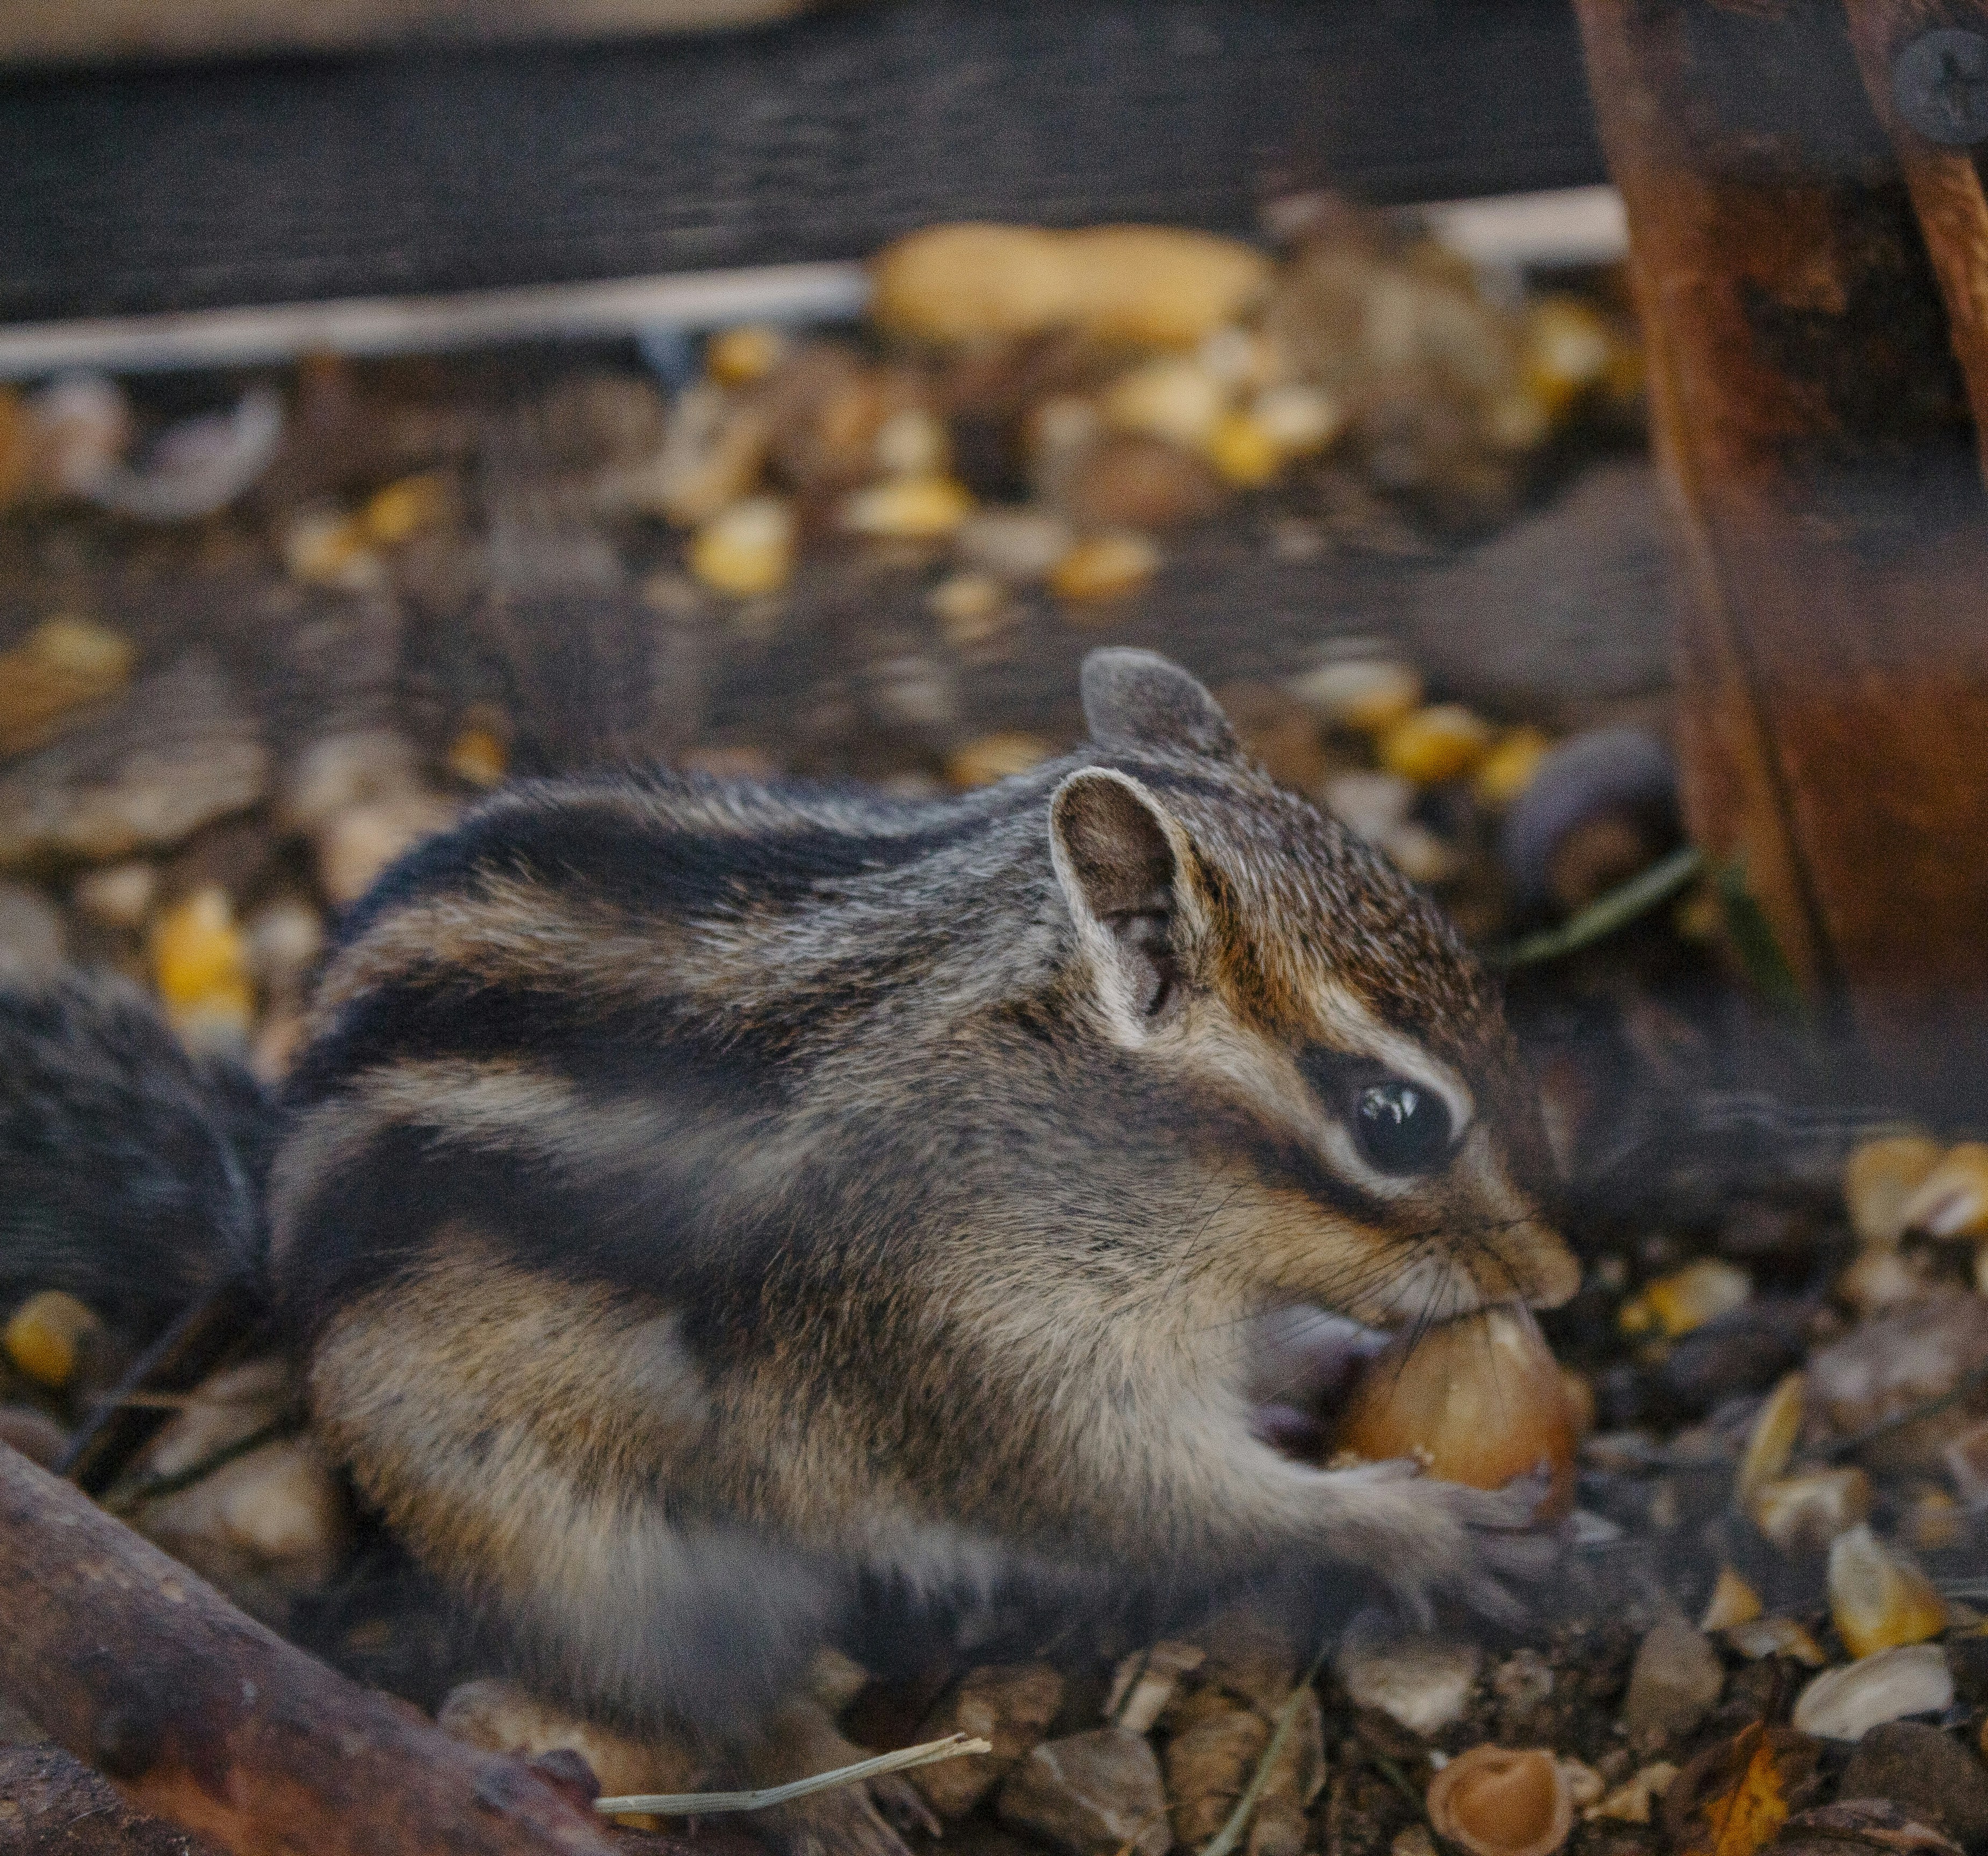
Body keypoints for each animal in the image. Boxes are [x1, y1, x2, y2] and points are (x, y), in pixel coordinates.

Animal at [1, 648, 1577, 1851]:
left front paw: (1335, 1356)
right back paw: (825, 1784)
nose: (1557, 1277)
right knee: (704, 1699)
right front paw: (1411, 1527)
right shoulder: (966, 1354)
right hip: (587, 1546)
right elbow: (1149, 1502)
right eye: (1393, 1118)